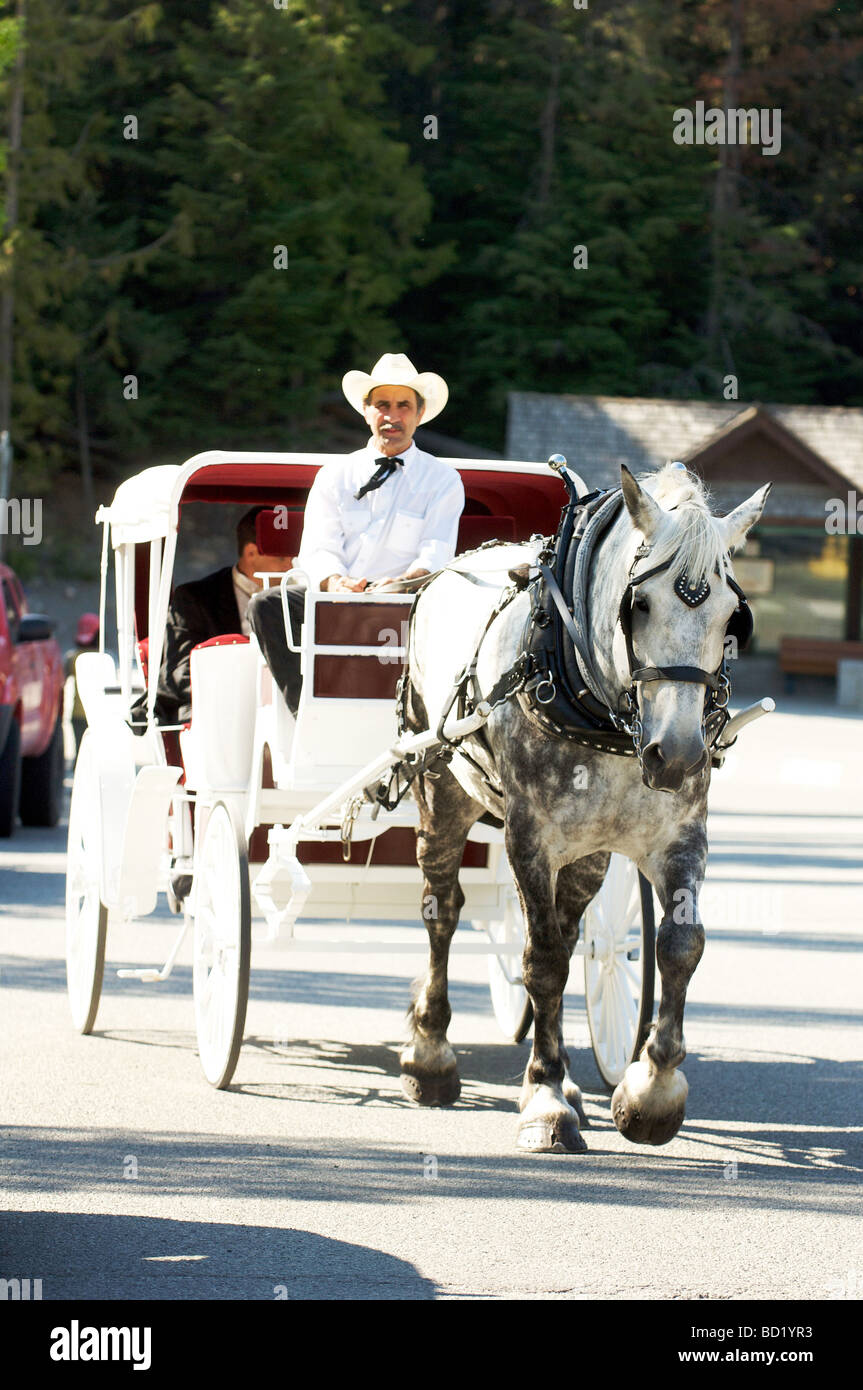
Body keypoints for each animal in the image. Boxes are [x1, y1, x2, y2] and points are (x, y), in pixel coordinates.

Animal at [400, 461, 770, 1153]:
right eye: (639, 604)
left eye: (733, 616)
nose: (678, 755)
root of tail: (447, 569)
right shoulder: (530, 837)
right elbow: (542, 960)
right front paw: (546, 1098)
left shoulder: (681, 837)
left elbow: (681, 944)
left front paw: (650, 1092)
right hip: (441, 790)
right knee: (443, 909)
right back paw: (430, 1053)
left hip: (591, 850)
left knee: (573, 932)